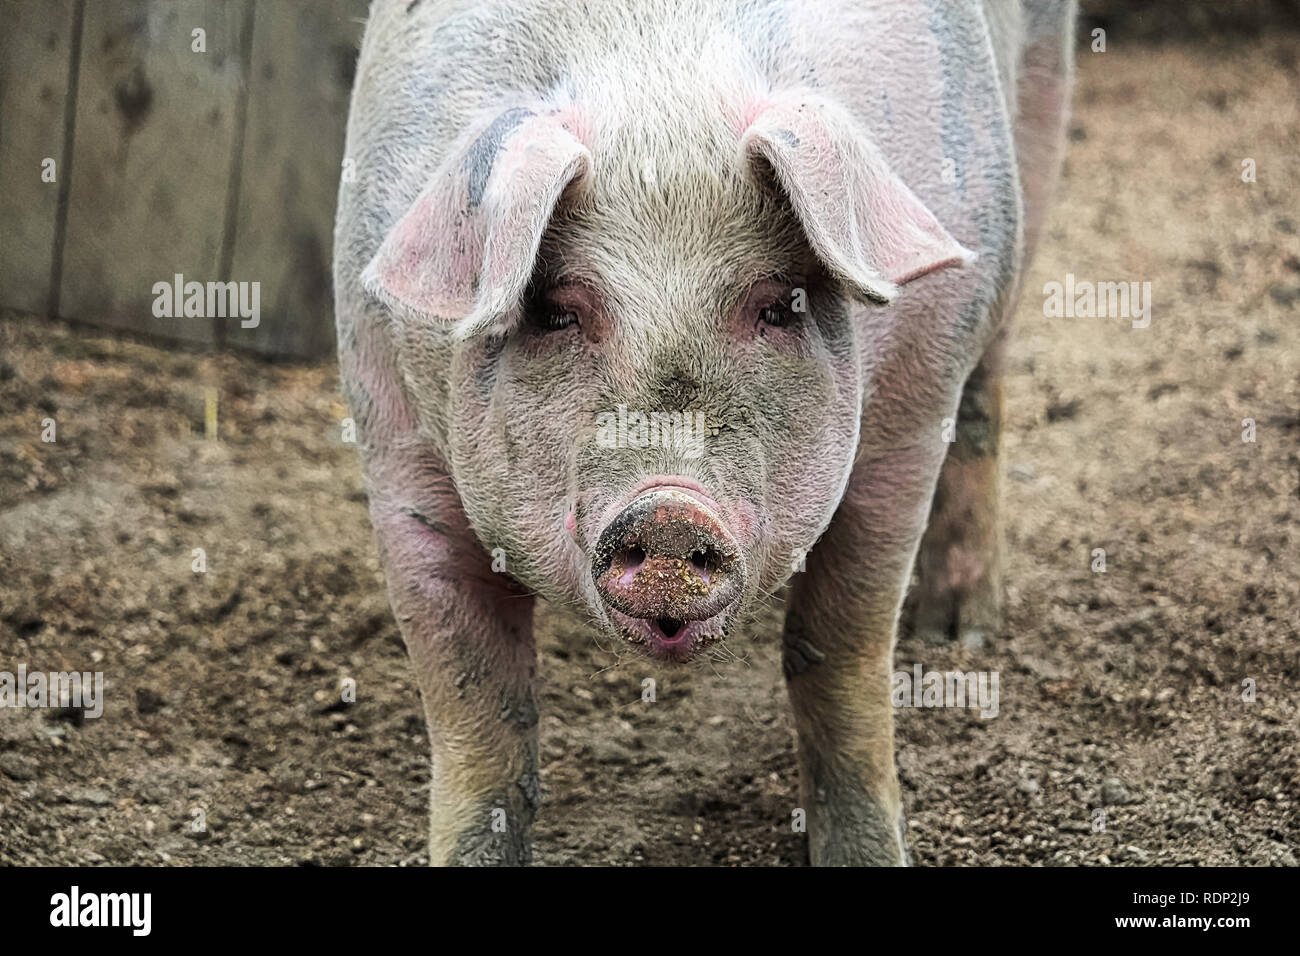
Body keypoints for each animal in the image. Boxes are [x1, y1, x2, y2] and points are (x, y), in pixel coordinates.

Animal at [334, 0, 1075, 865]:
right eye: (553, 310)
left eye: (779, 306)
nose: (668, 513)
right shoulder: (395, 443)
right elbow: (477, 709)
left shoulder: (907, 426)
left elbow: (840, 652)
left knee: (985, 397)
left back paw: (960, 635)